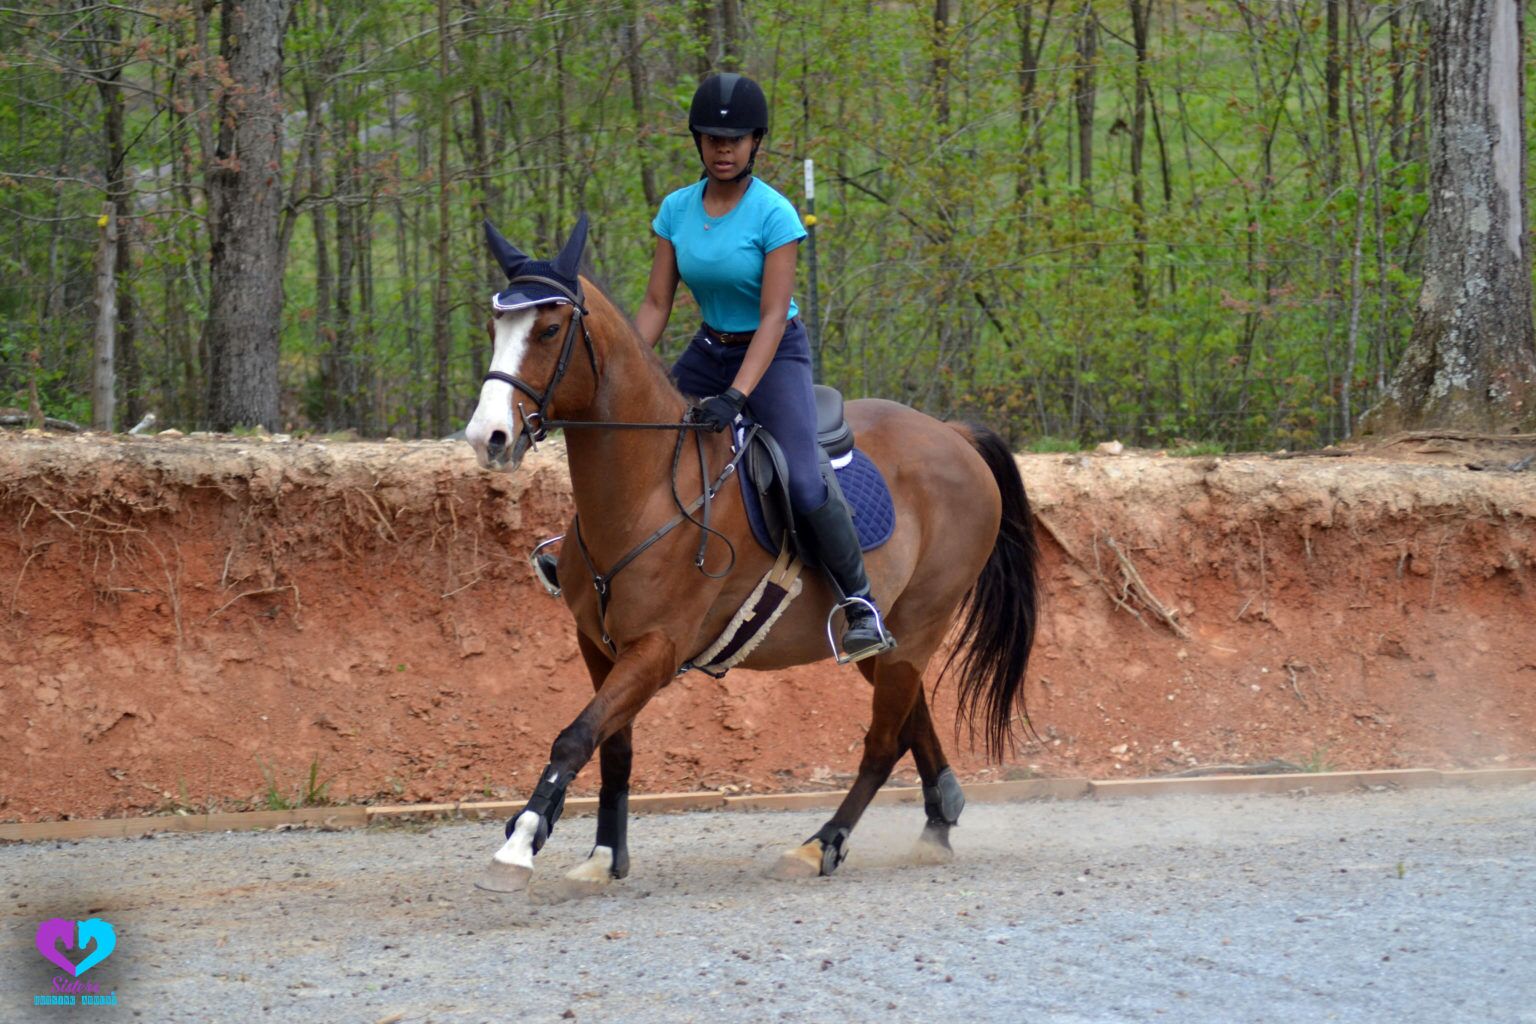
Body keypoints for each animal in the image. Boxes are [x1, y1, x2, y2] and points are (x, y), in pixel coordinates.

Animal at [463, 216, 1040, 894]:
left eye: (550, 330)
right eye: (495, 329)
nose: (488, 437)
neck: (647, 491)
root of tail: (952, 434)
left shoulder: (656, 649)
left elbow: (575, 736)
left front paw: (521, 843)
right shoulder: (598, 644)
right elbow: (613, 746)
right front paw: (606, 855)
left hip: (919, 623)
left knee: (882, 743)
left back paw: (821, 844)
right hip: (886, 642)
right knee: (909, 723)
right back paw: (937, 821)